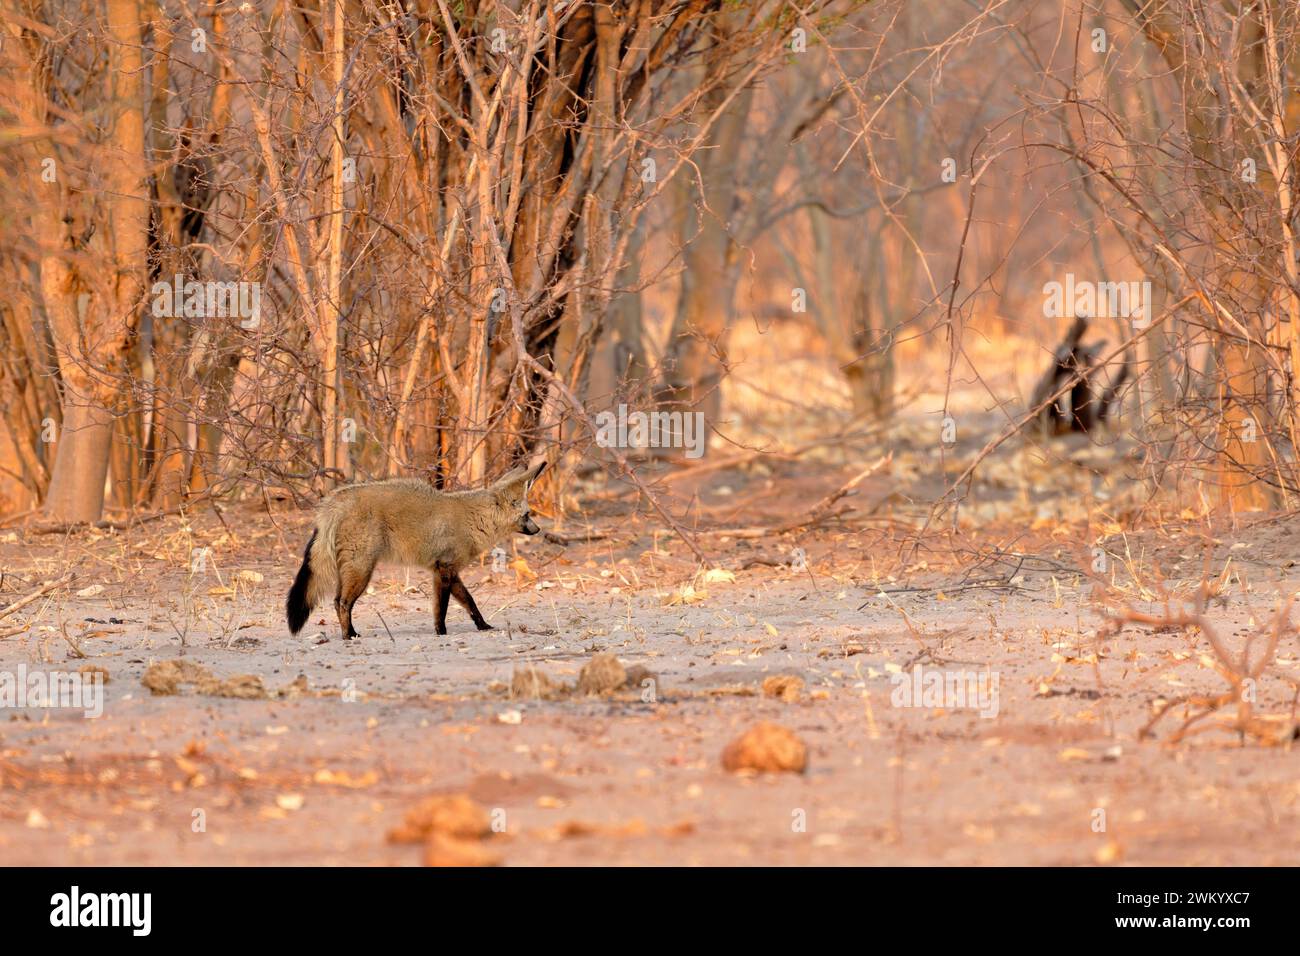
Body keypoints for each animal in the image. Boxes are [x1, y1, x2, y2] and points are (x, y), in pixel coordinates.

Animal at [285, 461, 546, 640]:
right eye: (528, 514)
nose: (539, 529)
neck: (474, 519)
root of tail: (333, 501)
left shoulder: (448, 571)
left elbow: (470, 602)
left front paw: (483, 626)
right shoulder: (444, 569)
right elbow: (441, 609)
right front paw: (441, 632)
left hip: (352, 571)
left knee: (337, 601)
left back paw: (350, 633)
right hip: (361, 571)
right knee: (342, 603)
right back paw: (348, 635)